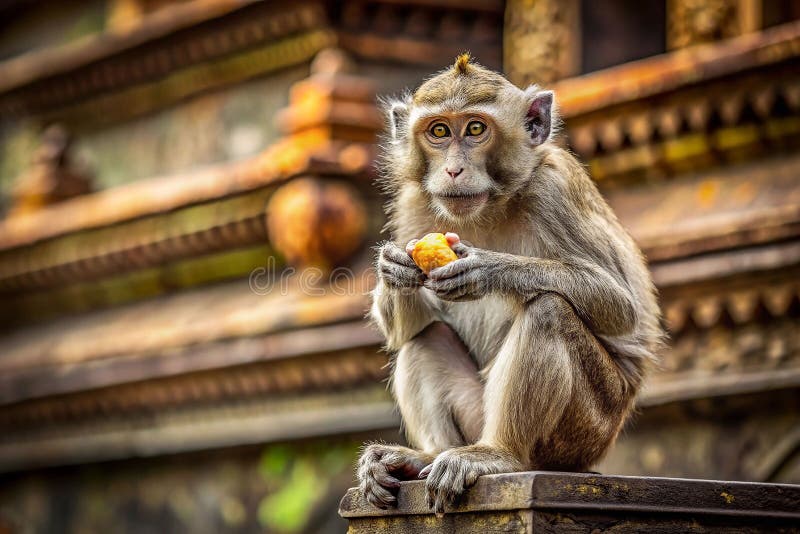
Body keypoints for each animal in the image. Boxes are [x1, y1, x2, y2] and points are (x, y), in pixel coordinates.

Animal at [358, 54, 663, 515]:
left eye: (475, 129)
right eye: (439, 131)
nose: (453, 169)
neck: (493, 204)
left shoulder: (555, 189)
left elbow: (621, 306)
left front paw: (487, 269)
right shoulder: (415, 204)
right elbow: (404, 331)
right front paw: (393, 267)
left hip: (585, 432)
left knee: (549, 311)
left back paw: (498, 454)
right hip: (475, 414)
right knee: (425, 339)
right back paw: (425, 457)